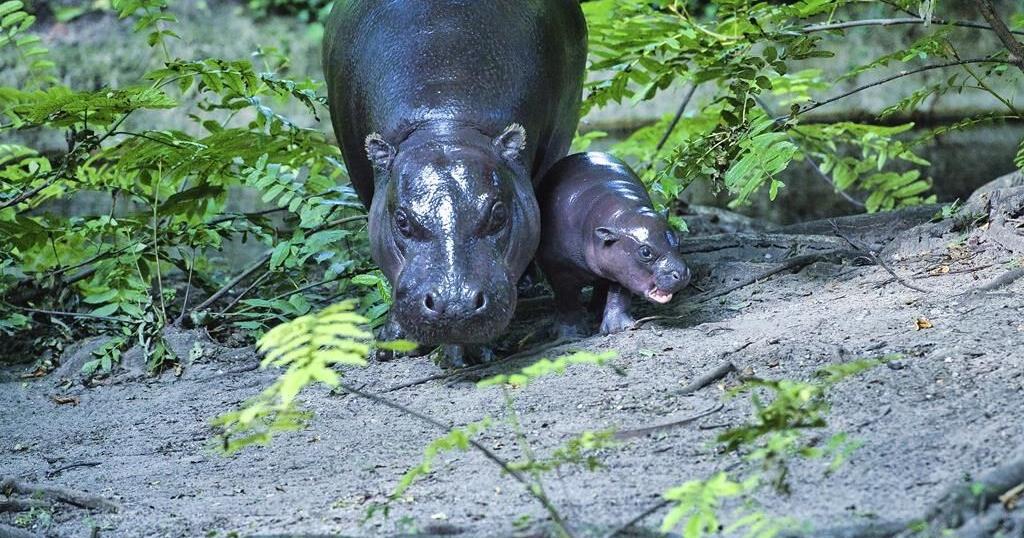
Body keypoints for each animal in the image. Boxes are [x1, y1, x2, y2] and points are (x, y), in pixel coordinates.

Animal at [322, 1, 587, 362]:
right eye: (402, 221)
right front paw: (392, 343)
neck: (445, 121)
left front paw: (469, 354)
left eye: (499, 214)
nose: (455, 305)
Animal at [537, 153, 692, 337]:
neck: (621, 214)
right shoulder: (558, 267)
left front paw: (619, 328)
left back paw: (595, 313)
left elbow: (619, 292)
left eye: (677, 240)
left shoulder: (621, 268)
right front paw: (571, 334)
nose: (682, 273)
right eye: (645, 252)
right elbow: (566, 298)